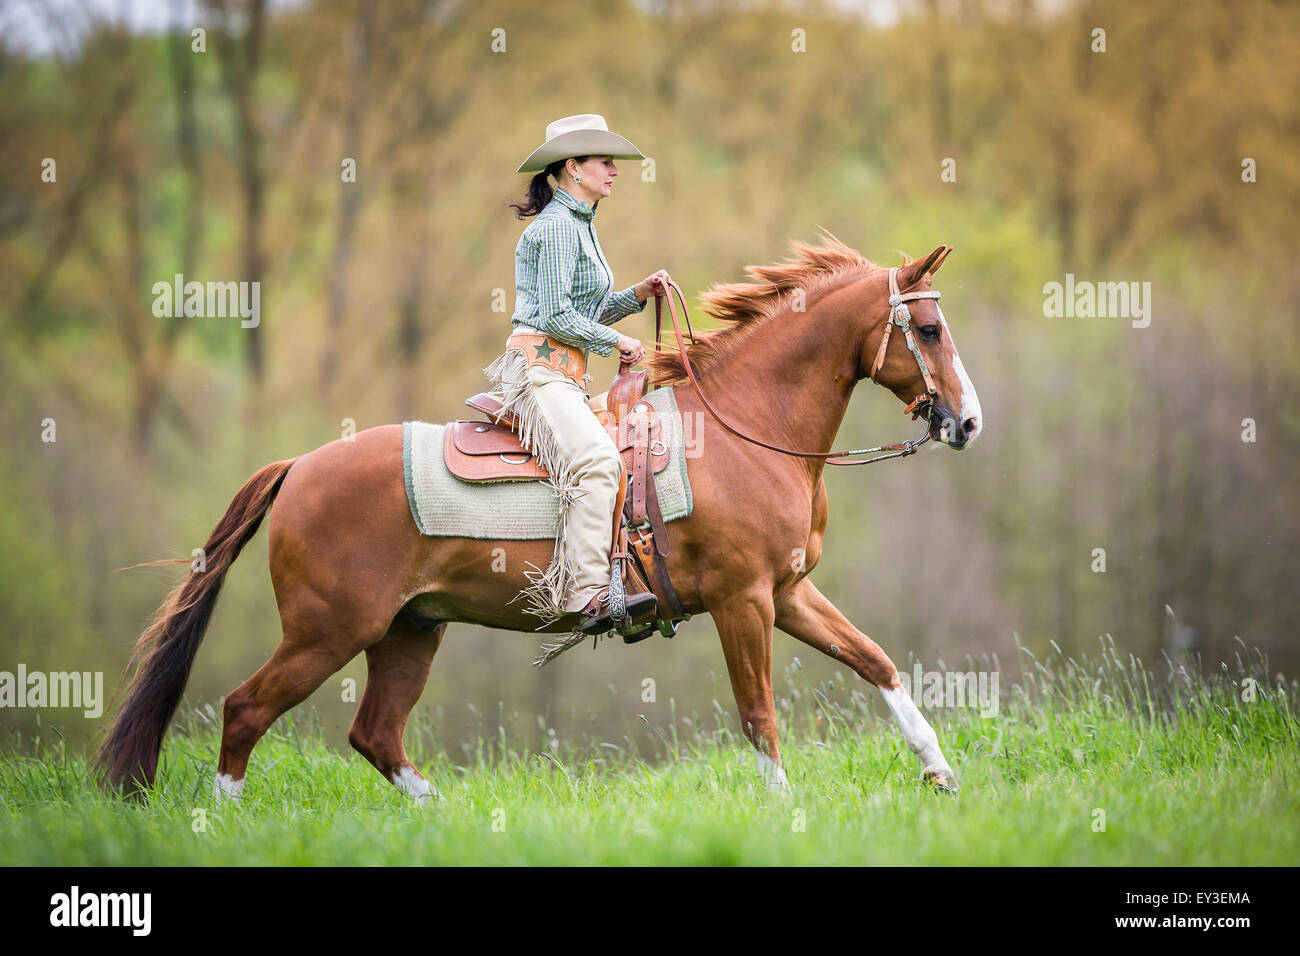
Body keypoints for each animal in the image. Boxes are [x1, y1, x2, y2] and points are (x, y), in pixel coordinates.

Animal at [98, 233, 982, 802]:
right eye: (930, 327)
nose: (968, 423)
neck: (742, 427)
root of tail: (299, 468)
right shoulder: (745, 603)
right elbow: (759, 712)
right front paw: (782, 807)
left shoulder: (790, 592)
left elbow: (877, 663)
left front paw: (939, 770)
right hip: (327, 633)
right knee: (247, 710)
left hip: (408, 632)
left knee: (375, 734)